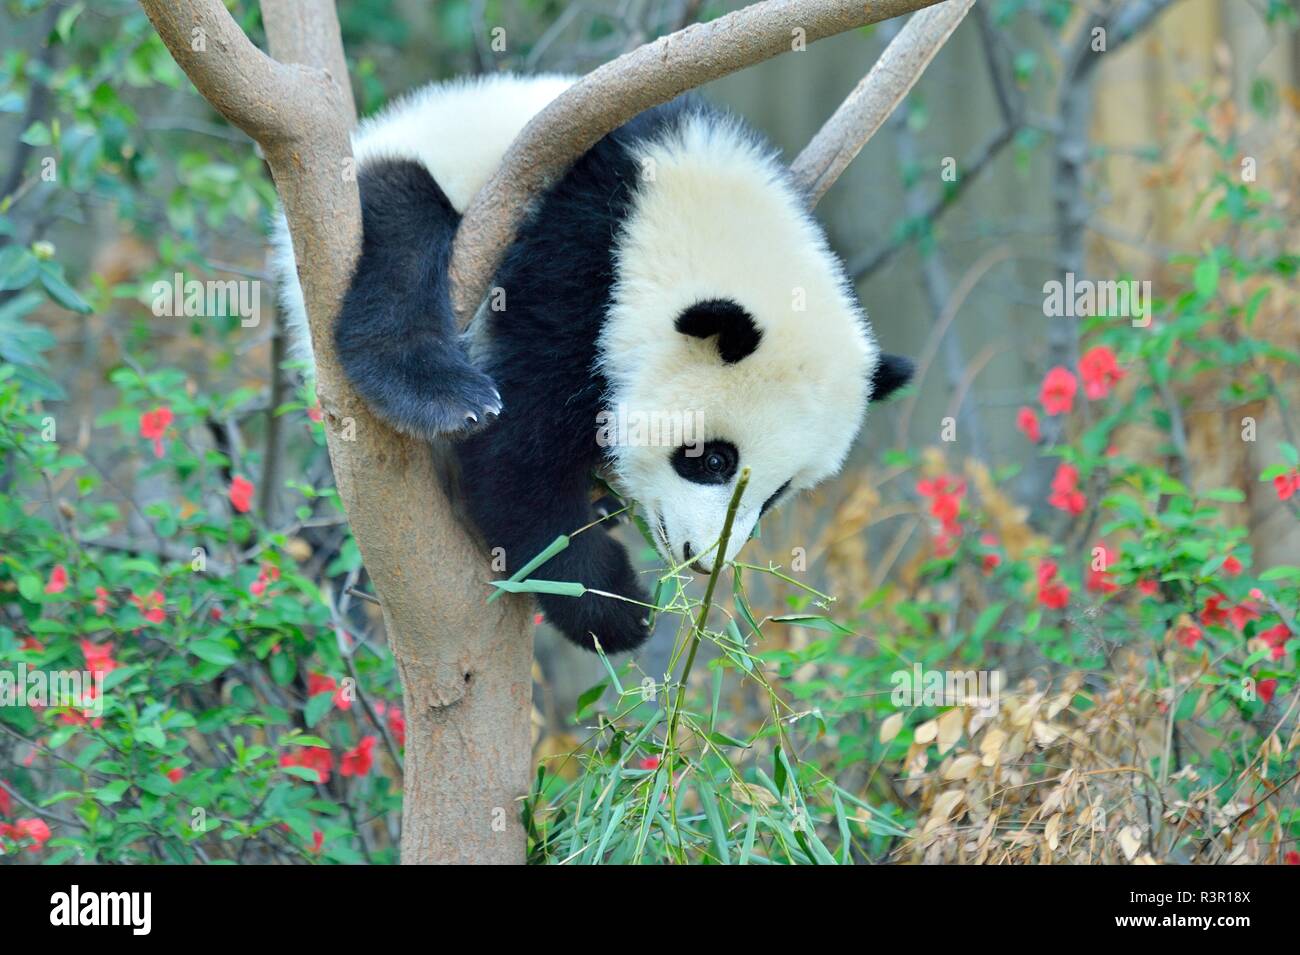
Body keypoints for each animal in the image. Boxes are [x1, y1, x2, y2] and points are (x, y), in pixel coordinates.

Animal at [273, 73, 913, 655]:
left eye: (779, 493)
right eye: (713, 460)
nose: (702, 562)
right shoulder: (576, 255)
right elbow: (522, 449)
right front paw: (612, 607)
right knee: (402, 228)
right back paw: (434, 389)